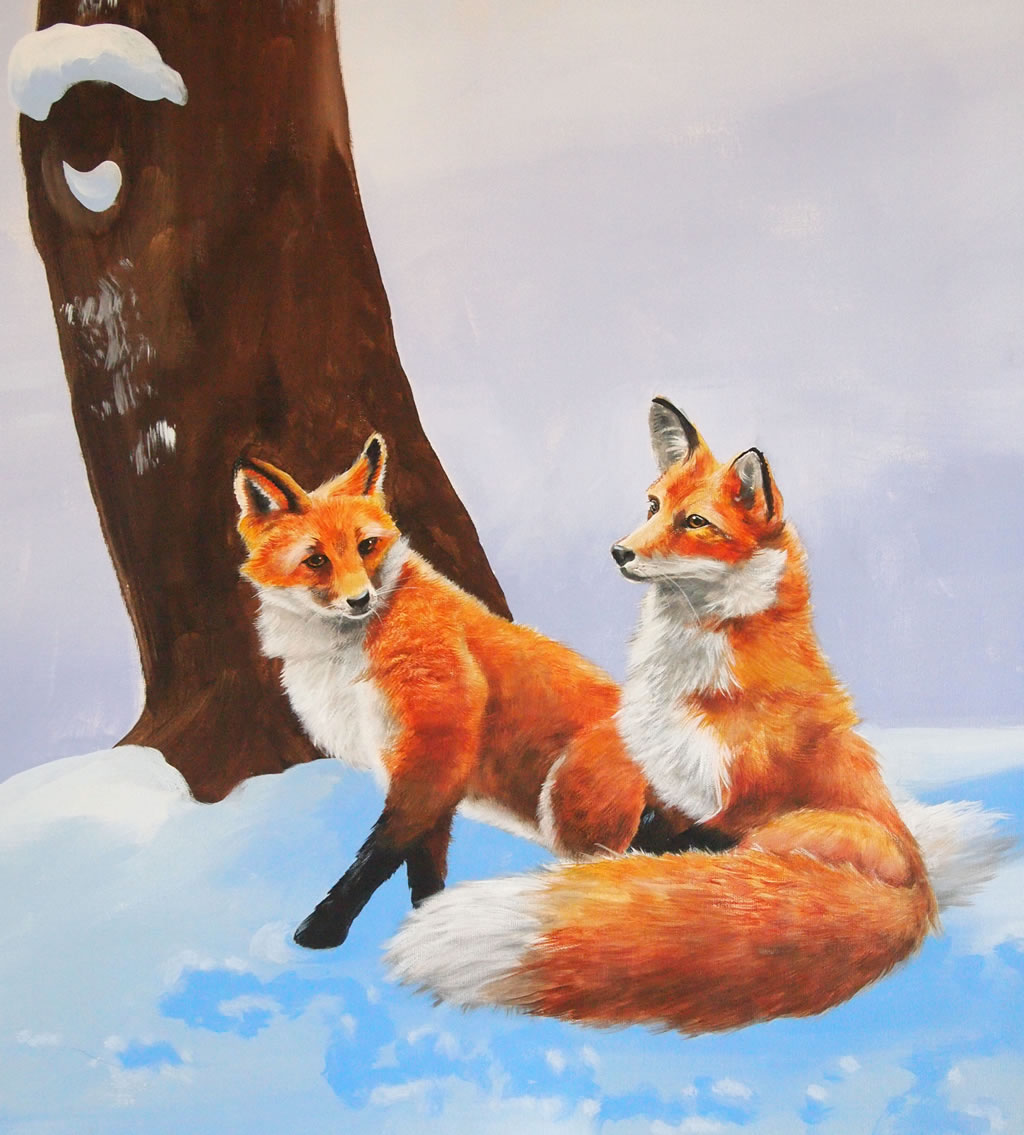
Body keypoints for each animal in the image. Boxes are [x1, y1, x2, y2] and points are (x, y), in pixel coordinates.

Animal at [233, 435, 648, 949]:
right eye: (316, 560)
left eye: (367, 546)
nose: (360, 600)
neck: (348, 655)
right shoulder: (417, 759)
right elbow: (424, 863)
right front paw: (427, 925)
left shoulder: (437, 741)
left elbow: (381, 851)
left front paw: (324, 928)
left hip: (570, 805)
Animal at [386, 397, 1000, 1034]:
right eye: (654, 506)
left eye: (697, 523)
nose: (619, 551)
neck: (690, 673)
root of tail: (918, 897)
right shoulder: (670, 790)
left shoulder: (729, 803)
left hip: (786, 837)